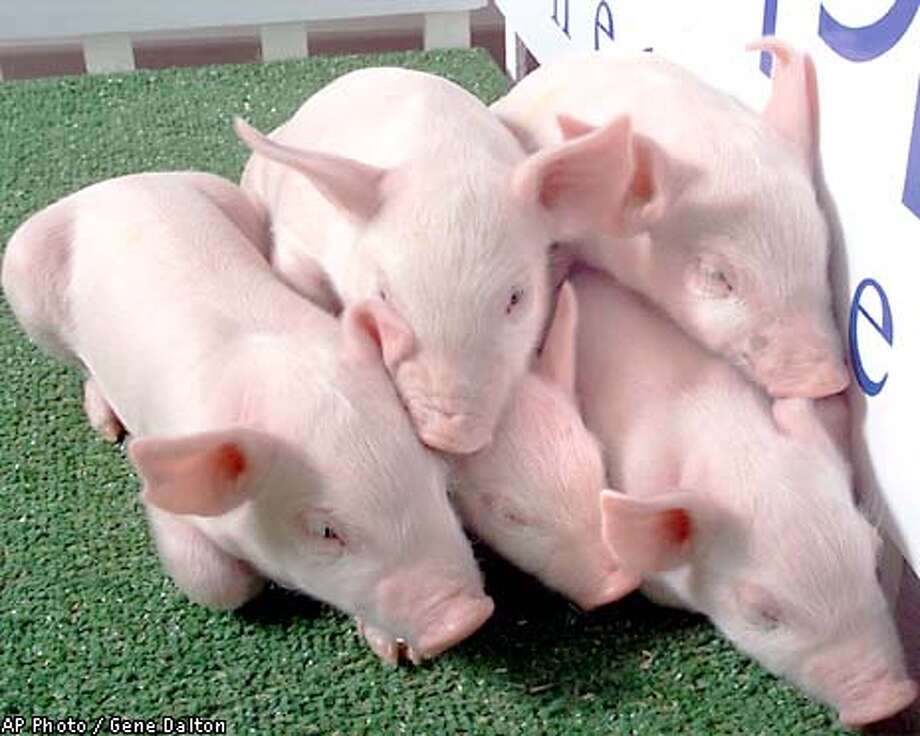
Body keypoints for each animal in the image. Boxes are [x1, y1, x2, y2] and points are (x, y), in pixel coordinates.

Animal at [1, 171, 494, 664]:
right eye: (325, 531)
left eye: (442, 486)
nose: (463, 619)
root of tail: (111, 185)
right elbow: (215, 582)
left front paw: (397, 652)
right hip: (23, 276)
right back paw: (106, 425)